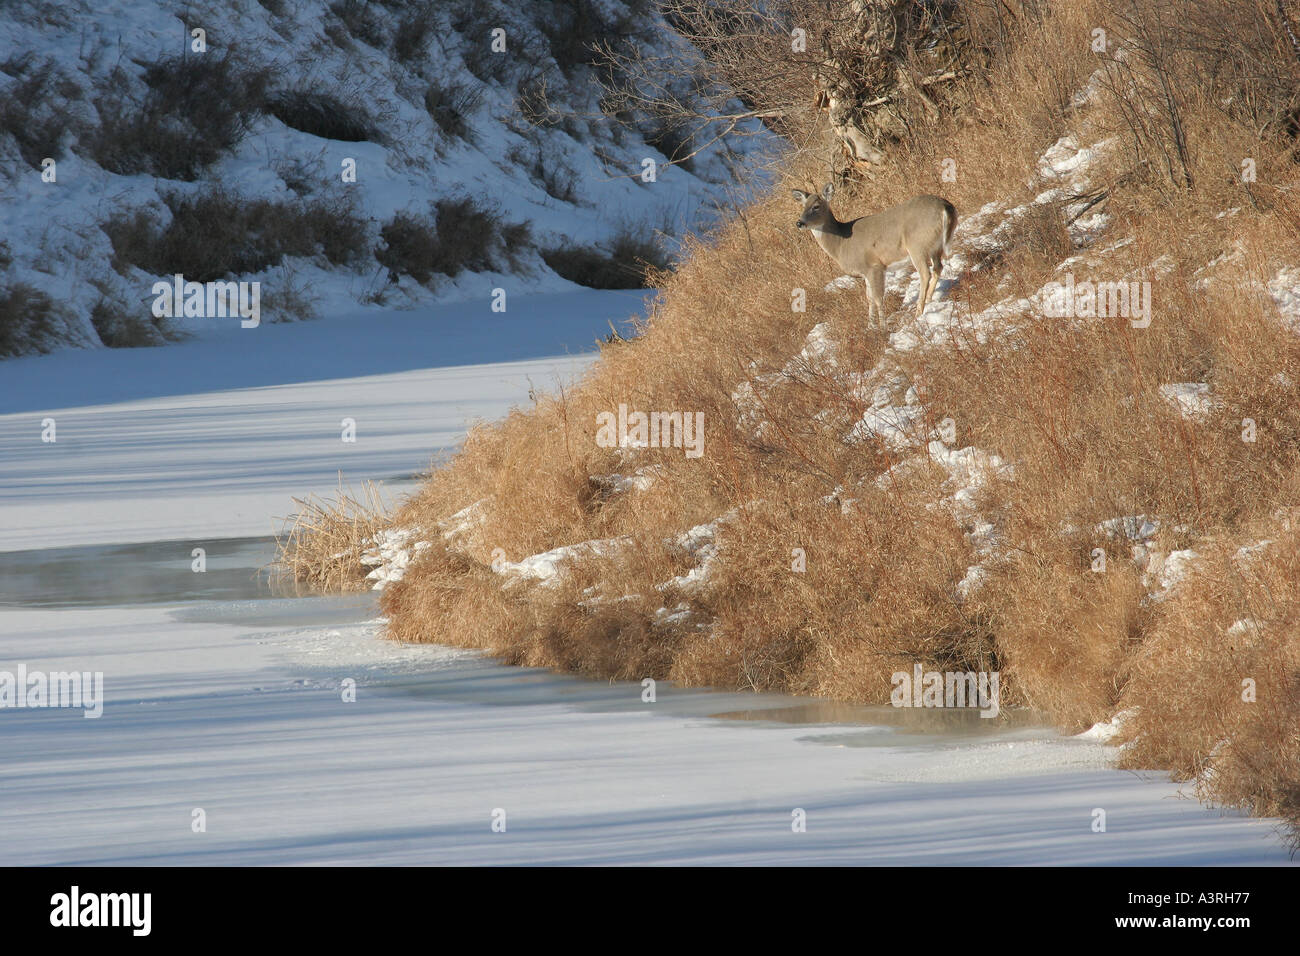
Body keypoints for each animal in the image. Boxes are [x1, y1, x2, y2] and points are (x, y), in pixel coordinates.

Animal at [792, 184, 957, 324]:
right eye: (802, 206)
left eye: (816, 206)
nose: (799, 223)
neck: (841, 243)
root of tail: (945, 207)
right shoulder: (865, 273)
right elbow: (869, 298)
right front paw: (870, 326)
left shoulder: (874, 266)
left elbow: (878, 298)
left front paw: (882, 326)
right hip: (934, 247)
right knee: (938, 267)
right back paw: (929, 300)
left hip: (917, 245)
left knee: (925, 273)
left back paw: (918, 312)